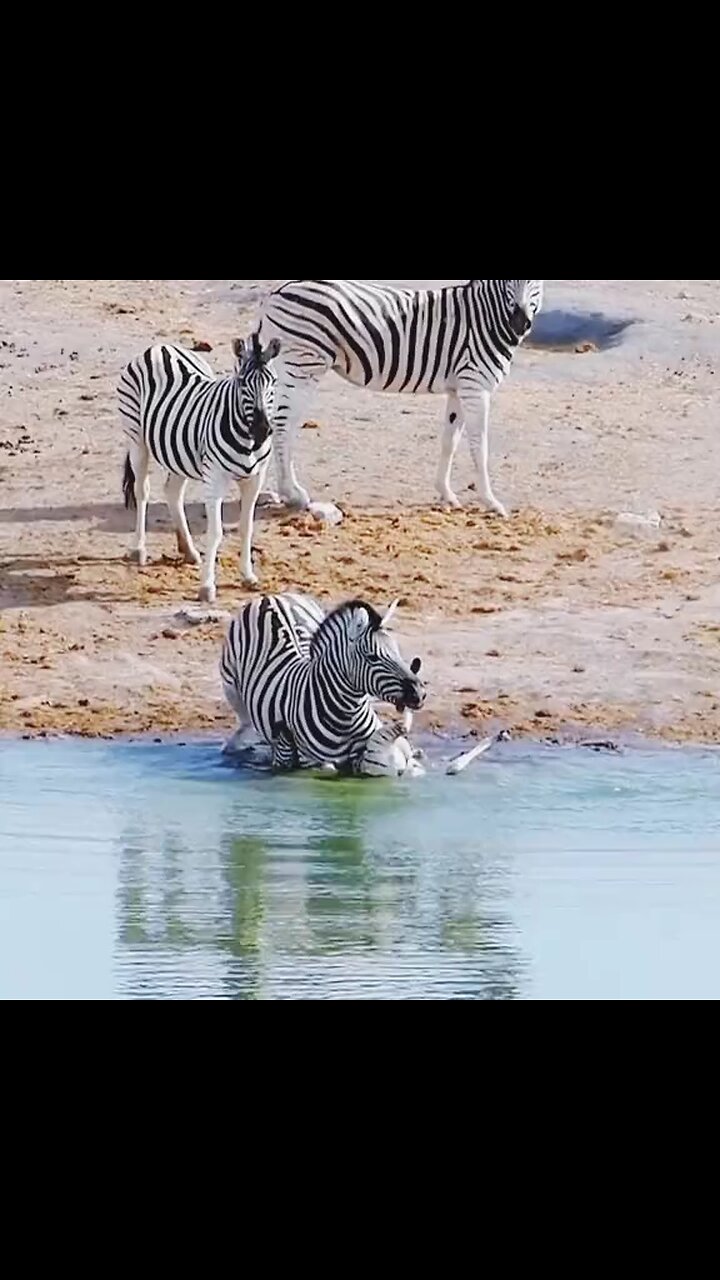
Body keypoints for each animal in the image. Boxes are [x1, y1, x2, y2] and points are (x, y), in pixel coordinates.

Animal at [118, 331, 281, 603]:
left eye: (273, 383)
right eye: (242, 383)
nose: (262, 430)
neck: (247, 441)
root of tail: (160, 347)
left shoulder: (254, 480)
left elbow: (246, 528)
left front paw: (248, 576)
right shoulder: (215, 479)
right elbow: (215, 533)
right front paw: (207, 587)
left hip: (177, 452)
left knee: (172, 492)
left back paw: (188, 550)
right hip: (136, 438)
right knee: (142, 492)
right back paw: (138, 549)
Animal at [219, 592, 426, 773]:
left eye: (397, 650)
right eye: (372, 657)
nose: (420, 693)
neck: (346, 714)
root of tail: (269, 597)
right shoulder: (312, 763)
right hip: (231, 686)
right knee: (246, 720)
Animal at [257, 279, 544, 521]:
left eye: (533, 280)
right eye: (507, 281)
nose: (520, 323)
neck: (486, 317)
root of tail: (278, 290)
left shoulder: (458, 388)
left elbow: (449, 441)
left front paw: (446, 494)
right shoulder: (475, 386)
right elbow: (479, 447)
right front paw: (491, 502)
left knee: (279, 423)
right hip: (303, 365)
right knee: (282, 425)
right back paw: (292, 493)